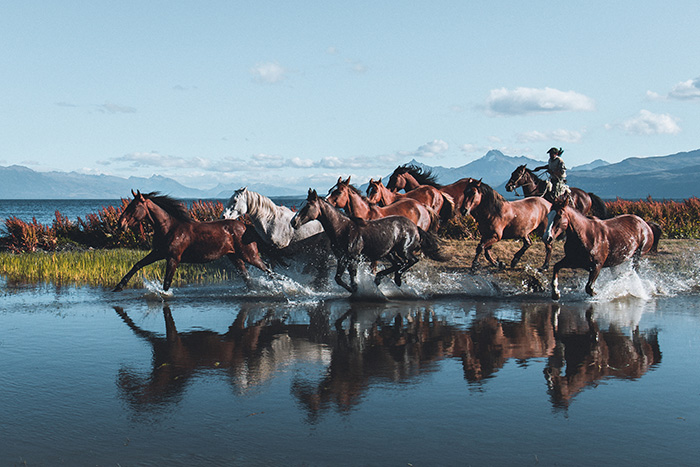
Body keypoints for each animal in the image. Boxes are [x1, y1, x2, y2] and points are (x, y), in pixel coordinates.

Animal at [113, 190, 275, 291]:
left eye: (134, 206)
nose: (120, 224)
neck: (170, 228)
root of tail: (246, 226)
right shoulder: (158, 253)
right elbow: (137, 265)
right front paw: (118, 287)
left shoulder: (173, 258)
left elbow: (166, 283)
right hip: (235, 257)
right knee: (248, 277)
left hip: (249, 255)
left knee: (267, 268)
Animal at [291, 189, 449, 294]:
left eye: (308, 206)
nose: (293, 222)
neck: (342, 228)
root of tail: (415, 227)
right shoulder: (342, 258)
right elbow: (338, 278)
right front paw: (352, 289)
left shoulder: (353, 258)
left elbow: (352, 278)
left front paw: (355, 290)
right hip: (389, 253)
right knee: (398, 264)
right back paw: (380, 279)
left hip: (404, 250)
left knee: (410, 261)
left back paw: (397, 279)